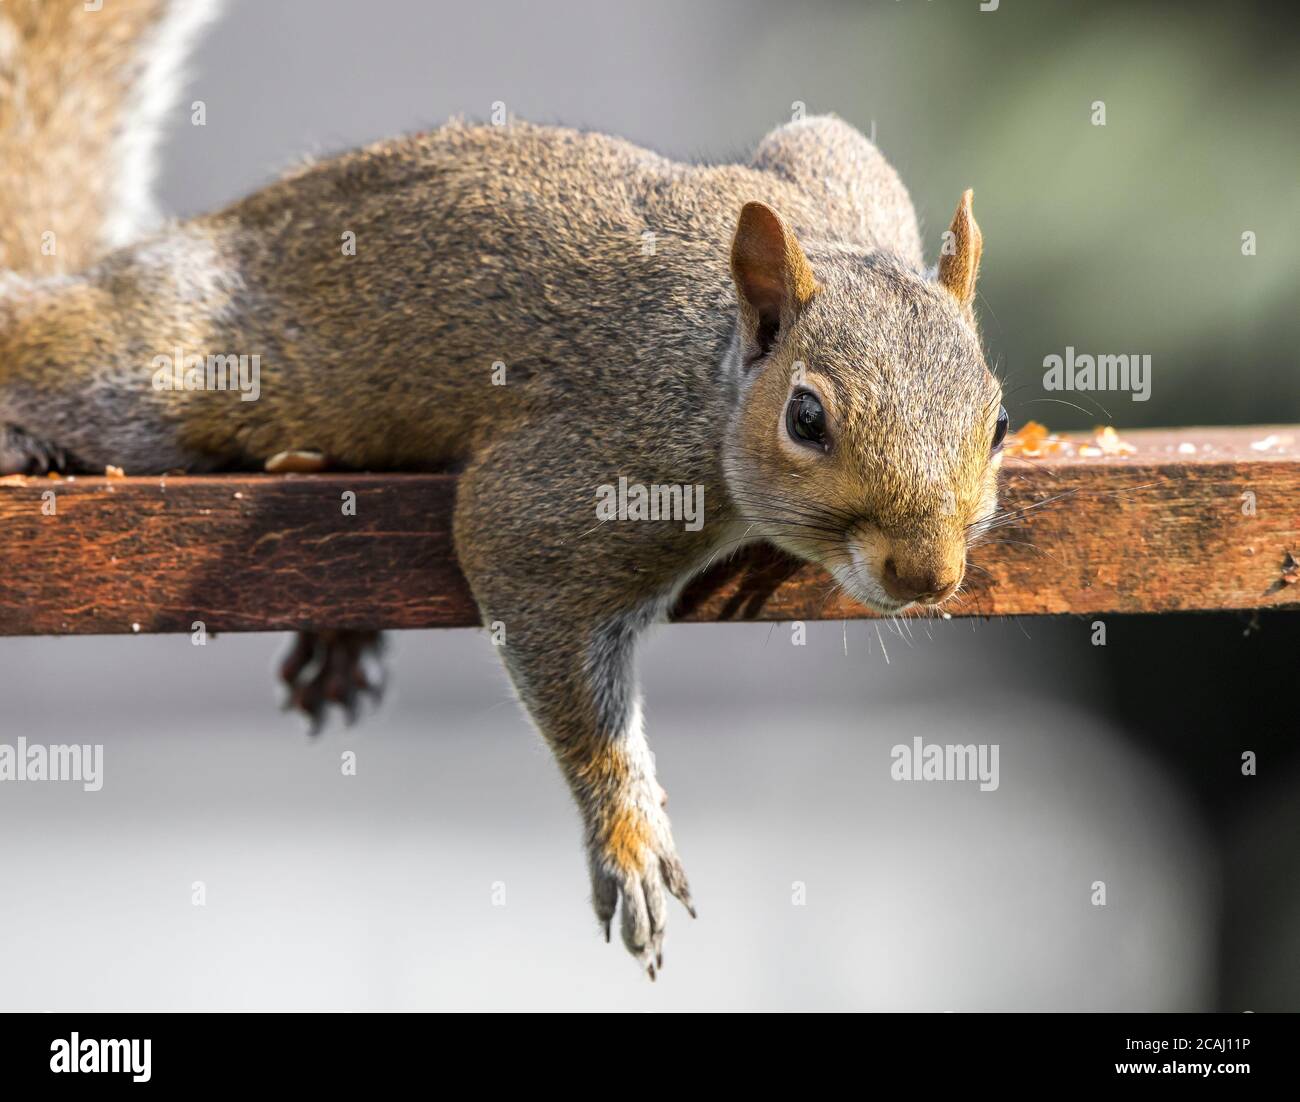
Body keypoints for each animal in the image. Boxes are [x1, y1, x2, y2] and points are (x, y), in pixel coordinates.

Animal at [0, 1, 1005, 977]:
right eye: (804, 419)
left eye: (997, 423)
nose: (927, 576)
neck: (712, 370)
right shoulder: (587, 483)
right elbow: (537, 606)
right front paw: (628, 839)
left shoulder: (842, 172)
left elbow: (820, 135)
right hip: (157, 367)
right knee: (58, 342)